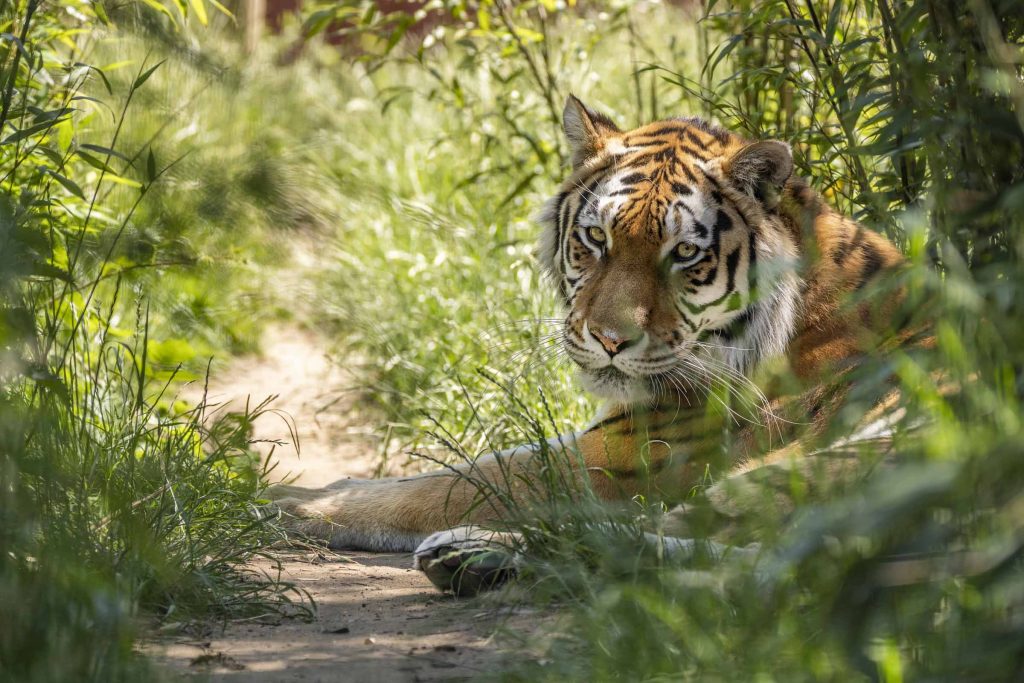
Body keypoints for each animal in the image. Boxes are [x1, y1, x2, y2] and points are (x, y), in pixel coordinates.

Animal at [269, 95, 909, 594]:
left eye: (684, 252)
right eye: (596, 238)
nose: (608, 339)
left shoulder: (625, 456)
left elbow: (459, 481)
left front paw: (290, 500)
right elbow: (464, 465)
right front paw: (330, 485)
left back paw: (467, 553)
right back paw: (471, 560)